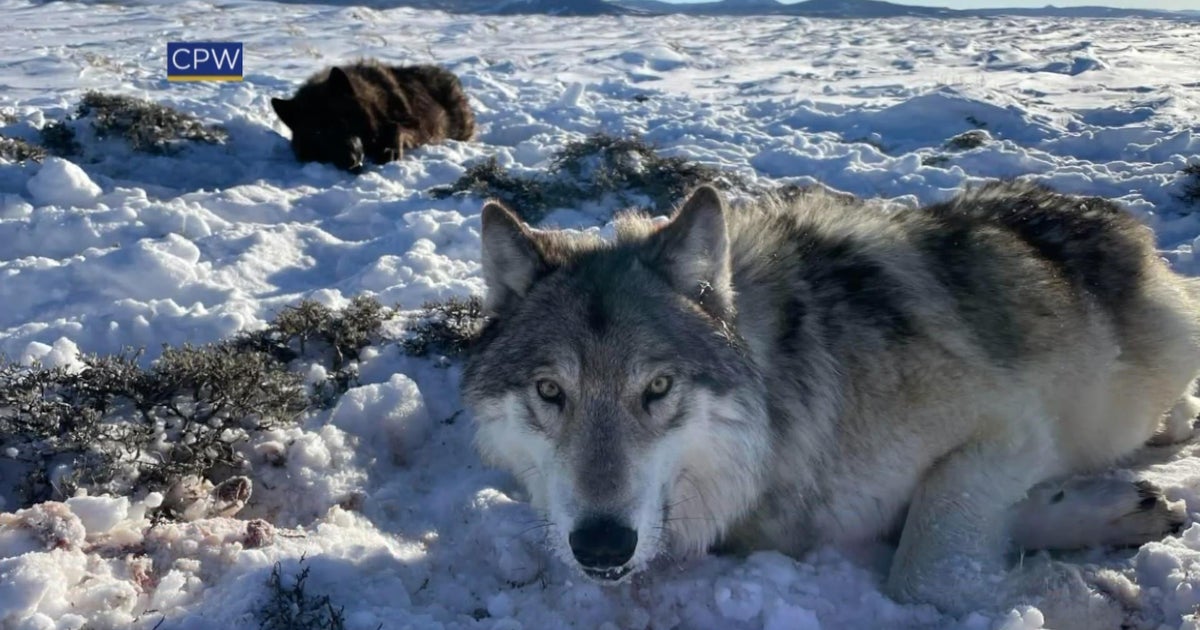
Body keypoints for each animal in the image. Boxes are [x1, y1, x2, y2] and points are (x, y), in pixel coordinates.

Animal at [271, 60, 475, 173]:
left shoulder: (415, 125)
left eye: (342, 122)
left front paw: (389, 152)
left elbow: (395, 127)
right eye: (318, 133)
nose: (350, 160)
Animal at [461, 179, 1200, 623]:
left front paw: (1080, 594)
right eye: (550, 392)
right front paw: (1092, 522)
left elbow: (926, 569)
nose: (601, 546)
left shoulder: (1010, 426)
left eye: (658, 389)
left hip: (1165, 349)